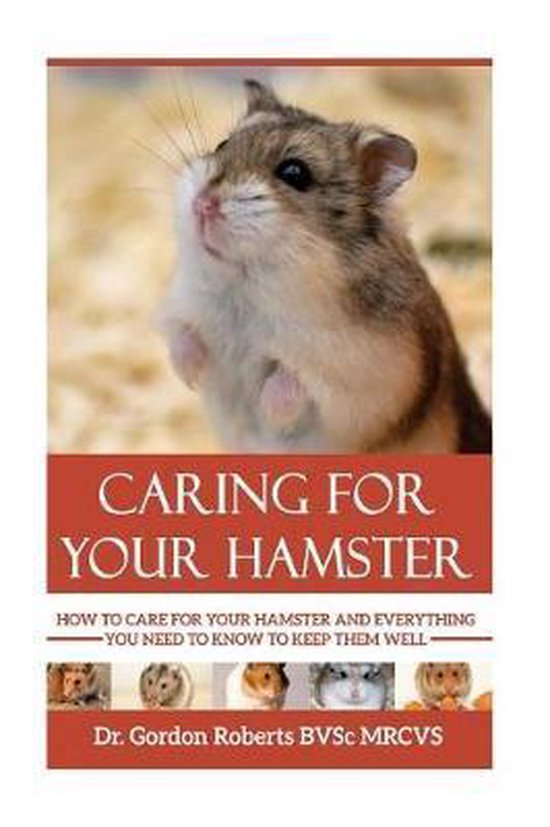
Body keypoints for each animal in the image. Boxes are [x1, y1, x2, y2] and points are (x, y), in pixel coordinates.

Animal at [160, 79, 491, 454]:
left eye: (295, 173)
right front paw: (192, 377)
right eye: (222, 144)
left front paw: (268, 408)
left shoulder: (356, 382)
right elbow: (182, 335)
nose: (203, 204)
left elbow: (292, 381)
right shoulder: (180, 304)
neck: (246, 287)